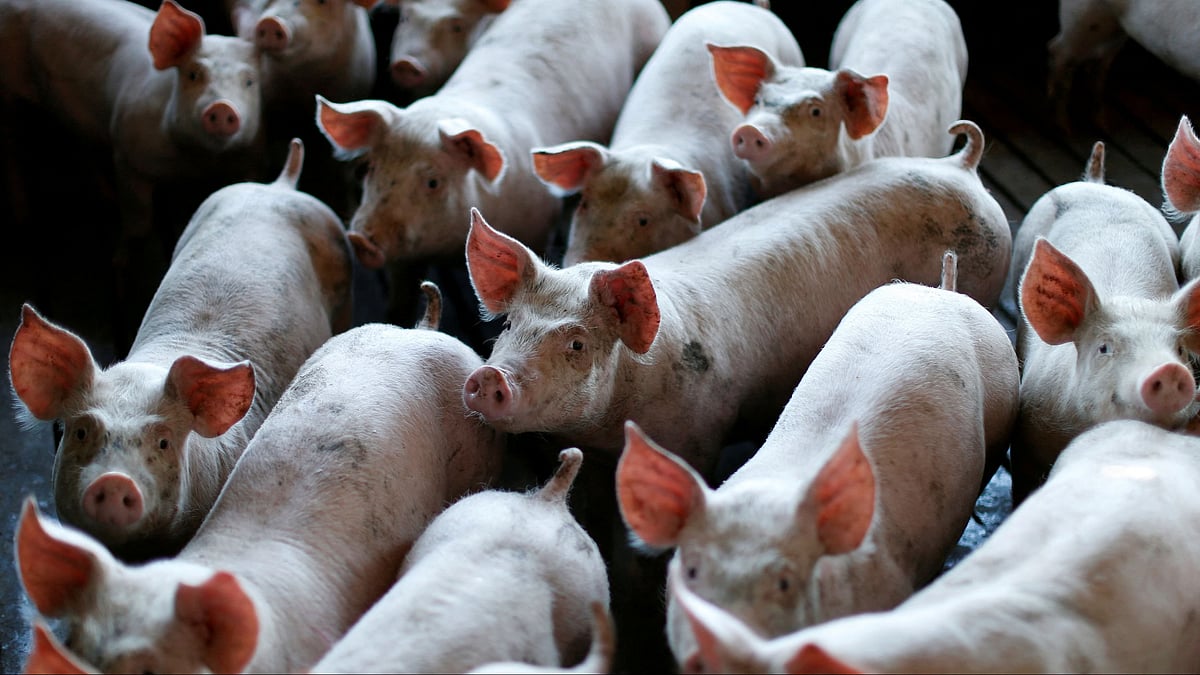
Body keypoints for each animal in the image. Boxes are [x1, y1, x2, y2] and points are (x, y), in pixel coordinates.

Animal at [0, 0, 265, 238]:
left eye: (249, 81)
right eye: (193, 75)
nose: (222, 106)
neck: (194, 162)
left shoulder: (248, 162)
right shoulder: (127, 156)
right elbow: (138, 225)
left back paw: (107, 196)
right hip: (9, 92)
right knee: (13, 149)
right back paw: (23, 218)